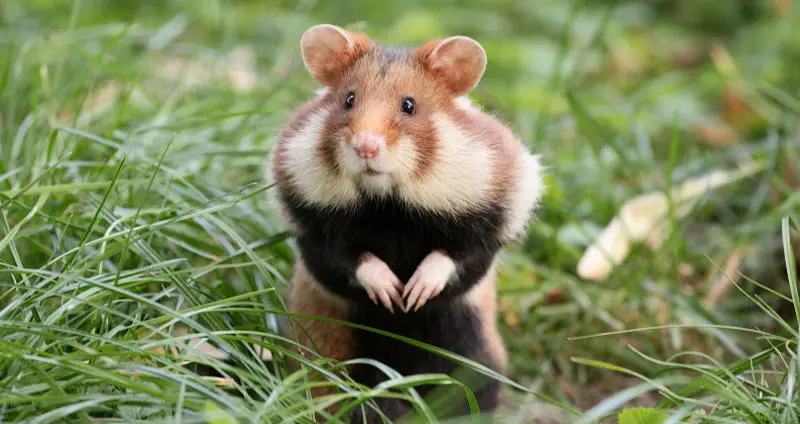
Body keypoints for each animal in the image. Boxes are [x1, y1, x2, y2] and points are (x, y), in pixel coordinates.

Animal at [266, 24, 545, 422]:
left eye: (409, 105)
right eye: (348, 100)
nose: (366, 148)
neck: (389, 206)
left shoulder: (490, 221)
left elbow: (455, 258)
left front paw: (412, 294)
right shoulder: (313, 227)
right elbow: (346, 260)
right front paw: (391, 294)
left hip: (474, 359)